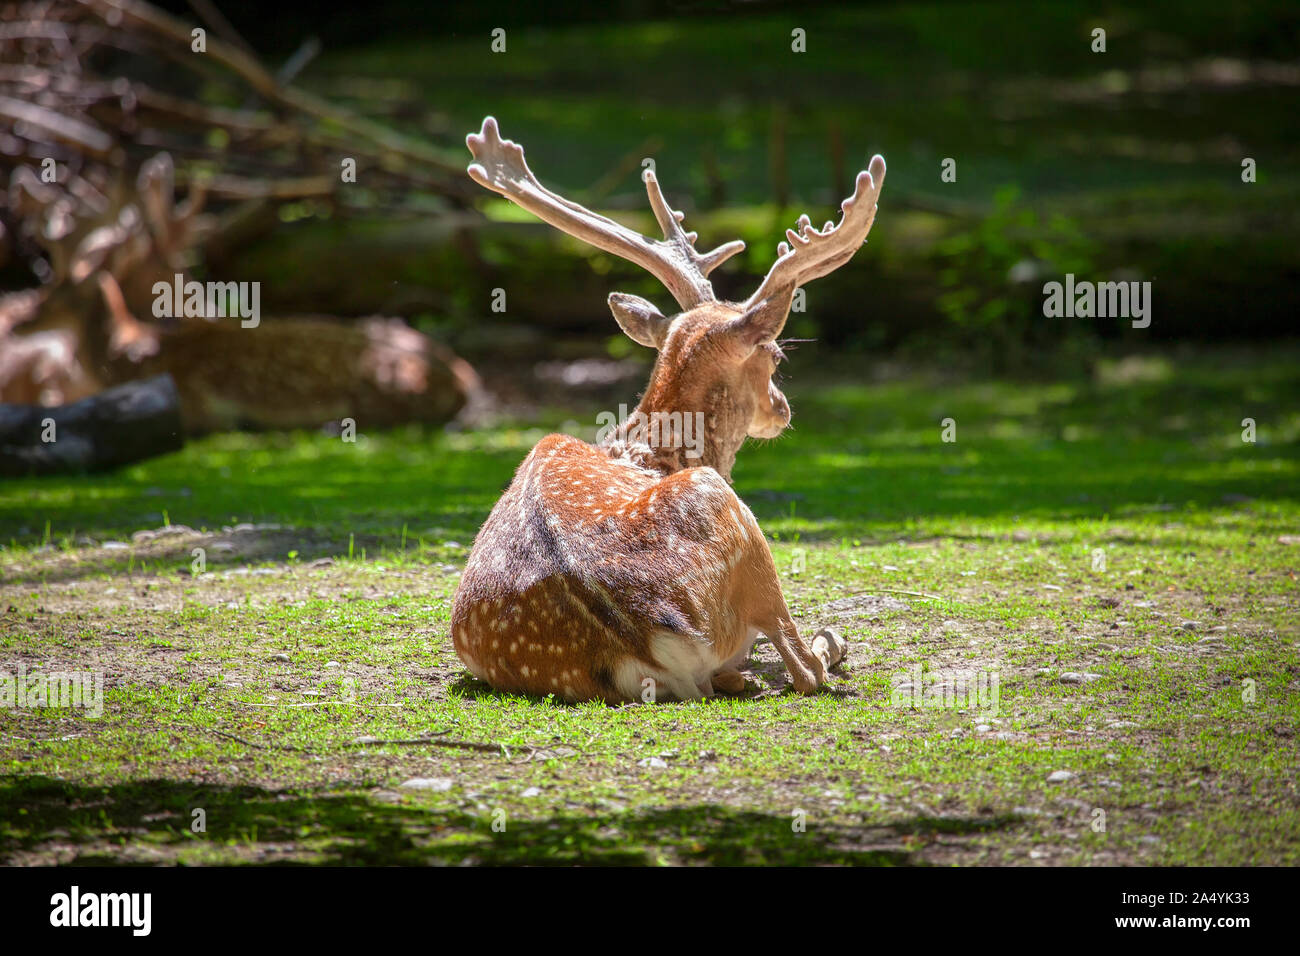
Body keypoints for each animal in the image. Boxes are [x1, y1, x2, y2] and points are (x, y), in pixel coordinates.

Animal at [450, 117, 885, 703]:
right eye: (775, 354)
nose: (782, 408)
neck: (657, 450)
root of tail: (644, 637)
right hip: (729, 513)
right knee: (801, 668)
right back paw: (823, 645)